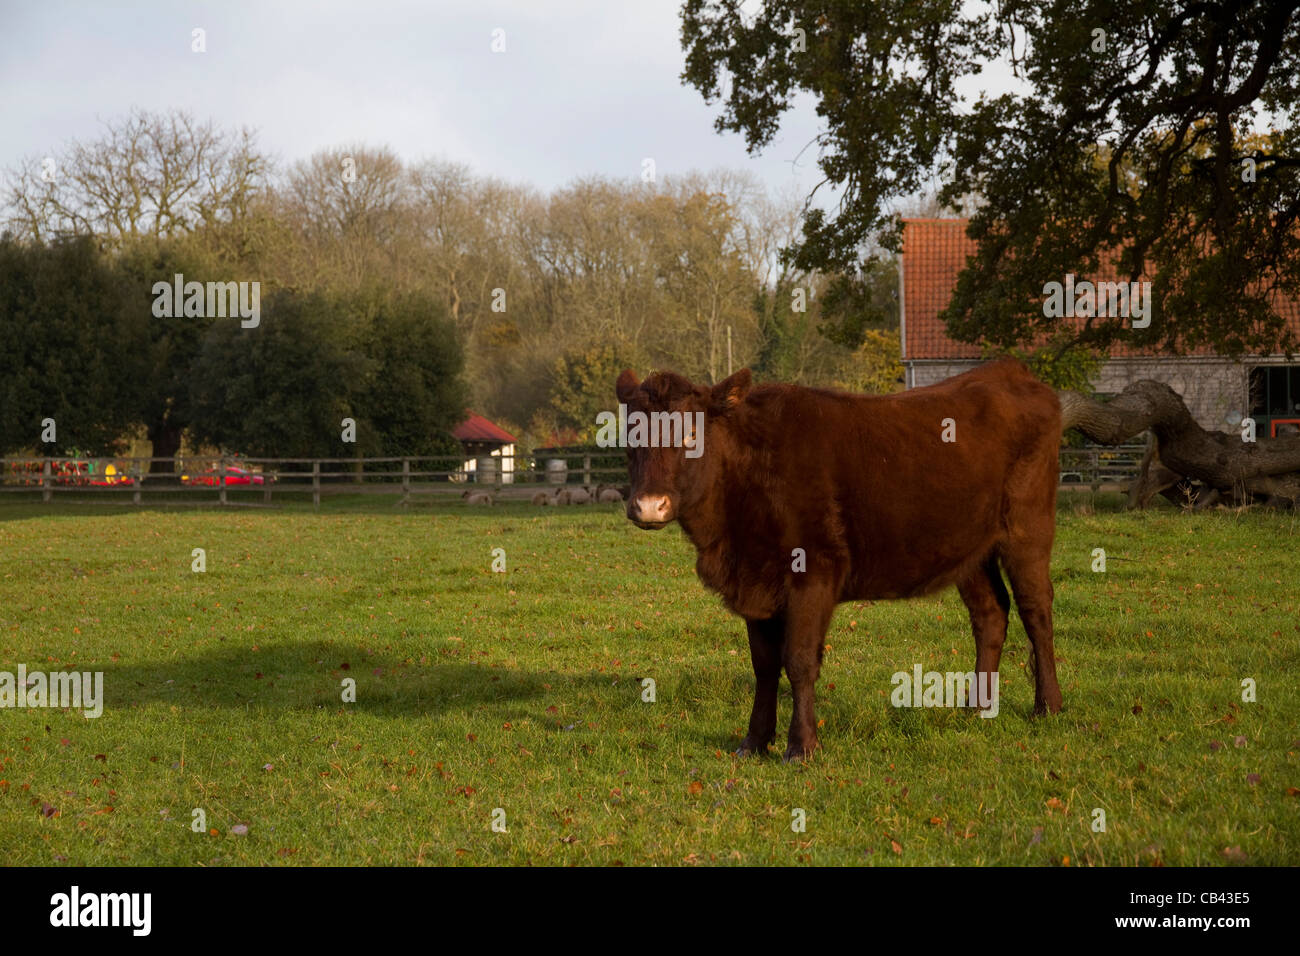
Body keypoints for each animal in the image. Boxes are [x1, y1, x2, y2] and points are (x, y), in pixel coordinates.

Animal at [615, 358, 1063, 762]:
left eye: (693, 432)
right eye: (631, 433)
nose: (650, 505)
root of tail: (1008, 370)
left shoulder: (814, 573)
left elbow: (798, 660)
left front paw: (801, 746)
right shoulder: (755, 584)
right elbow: (764, 664)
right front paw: (754, 741)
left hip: (1028, 527)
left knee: (1036, 611)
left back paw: (1048, 706)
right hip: (970, 548)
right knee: (990, 614)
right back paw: (976, 708)